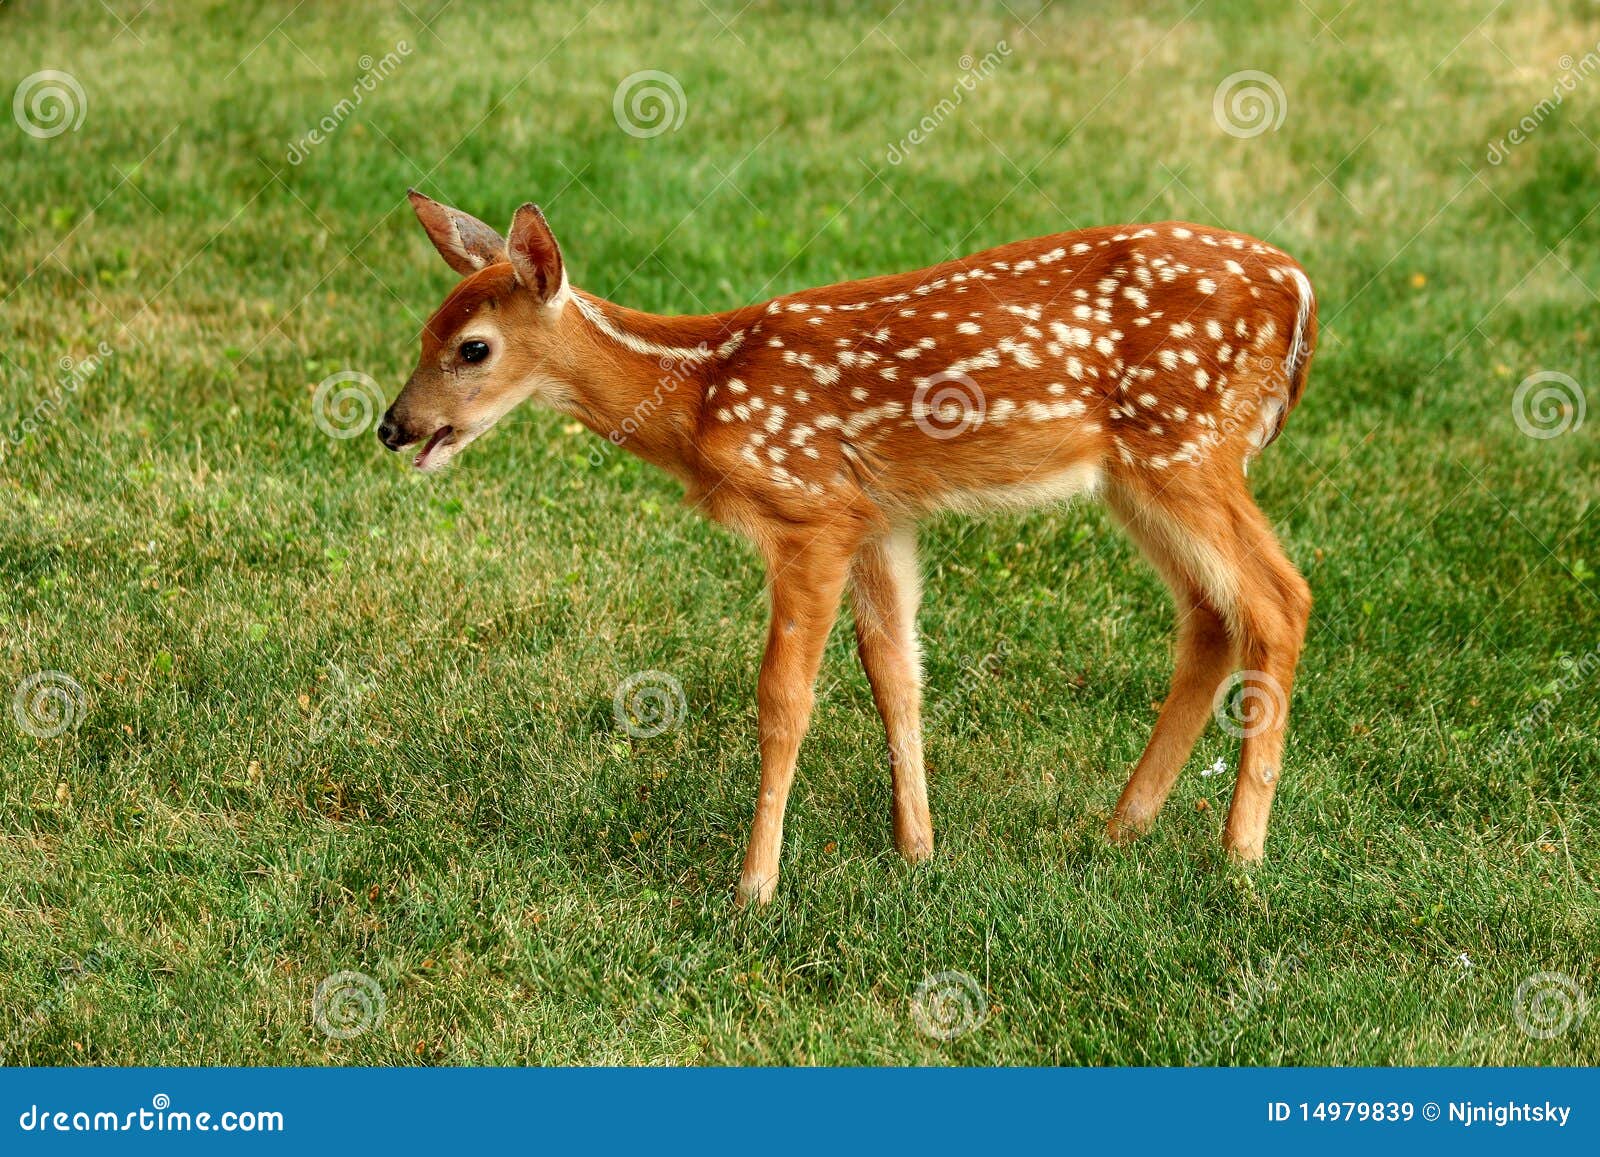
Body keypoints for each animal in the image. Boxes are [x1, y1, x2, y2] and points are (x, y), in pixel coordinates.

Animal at [378, 190, 1317, 906]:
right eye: (423, 331)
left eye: (473, 348)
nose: (393, 426)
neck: (698, 391)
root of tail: (1302, 290)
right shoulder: (879, 516)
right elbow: (896, 672)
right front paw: (918, 851)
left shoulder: (811, 512)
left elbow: (784, 698)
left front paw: (755, 886)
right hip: (1141, 471)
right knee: (1211, 614)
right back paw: (1119, 828)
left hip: (1185, 441)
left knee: (1280, 598)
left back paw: (1240, 855)